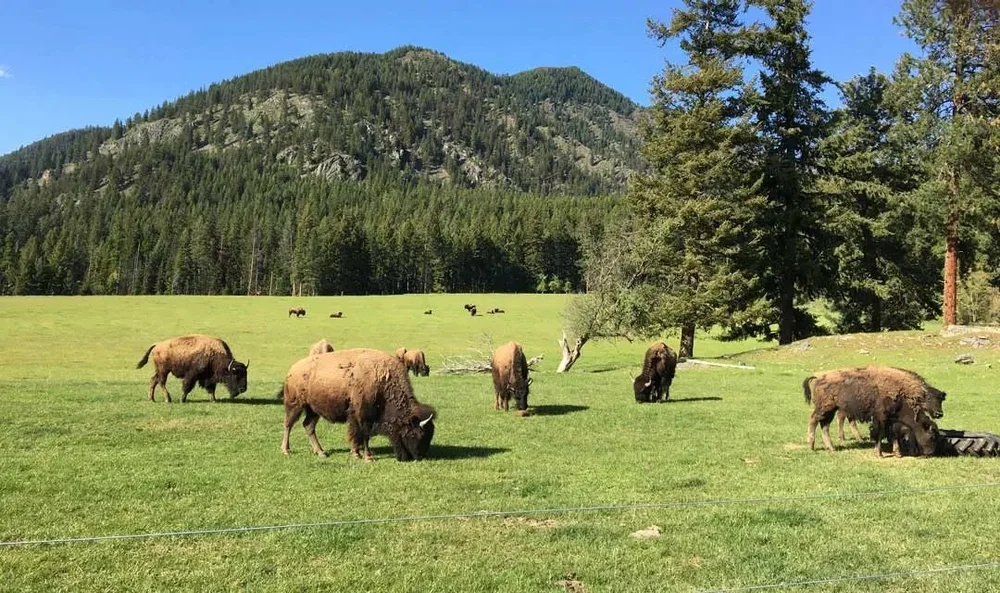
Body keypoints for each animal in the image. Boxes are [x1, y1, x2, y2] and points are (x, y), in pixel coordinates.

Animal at [279, 349, 435, 462]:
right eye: (415, 434)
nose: (419, 457)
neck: (383, 379)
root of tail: (292, 370)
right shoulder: (363, 416)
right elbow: (363, 435)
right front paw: (367, 457)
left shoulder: (357, 417)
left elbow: (356, 435)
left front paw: (356, 453)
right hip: (295, 406)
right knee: (288, 425)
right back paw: (286, 450)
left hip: (313, 410)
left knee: (308, 426)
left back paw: (321, 452)